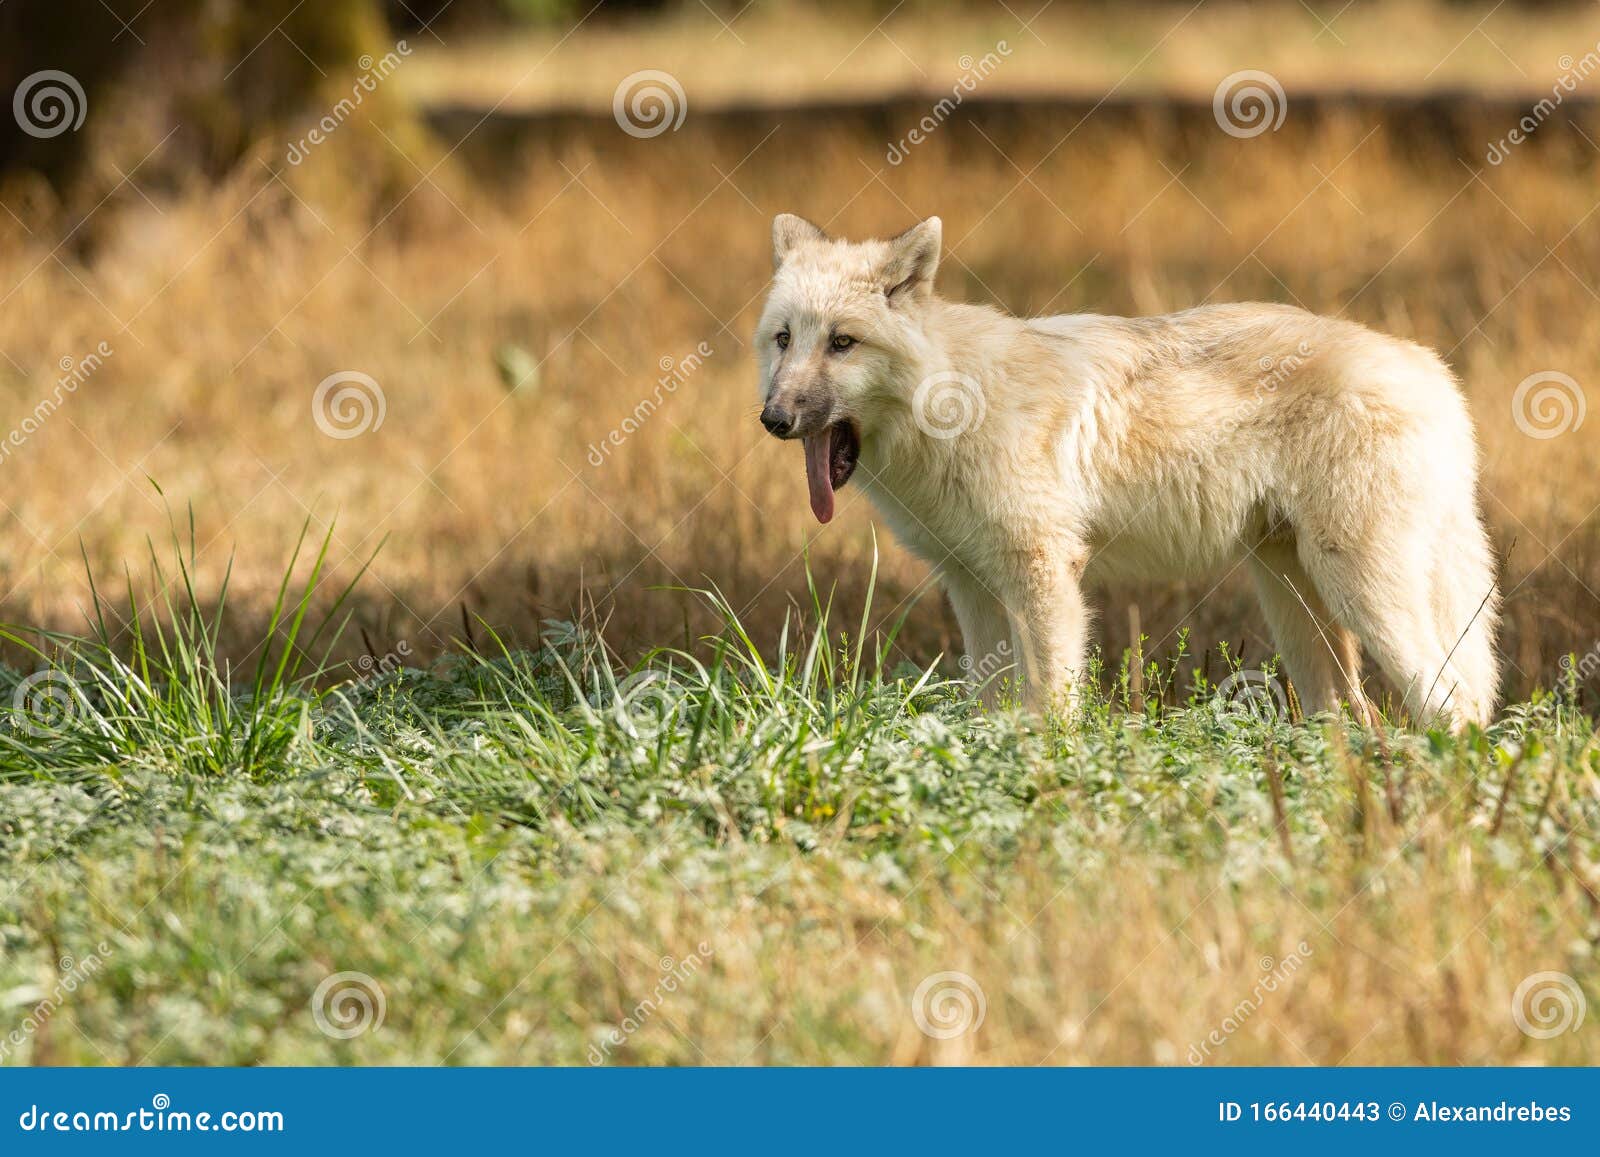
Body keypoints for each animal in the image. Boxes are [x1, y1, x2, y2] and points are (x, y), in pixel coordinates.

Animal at [755, 213, 1501, 728]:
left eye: (843, 343)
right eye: (784, 339)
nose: (773, 418)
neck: (955, 400)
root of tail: (1434, 371)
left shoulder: (1043, 575)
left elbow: (1051, 709)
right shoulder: (973, 589)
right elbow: (990, 709)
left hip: (1360, 594)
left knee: (1456, 707)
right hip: (1297, 607)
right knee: (1358, 715)